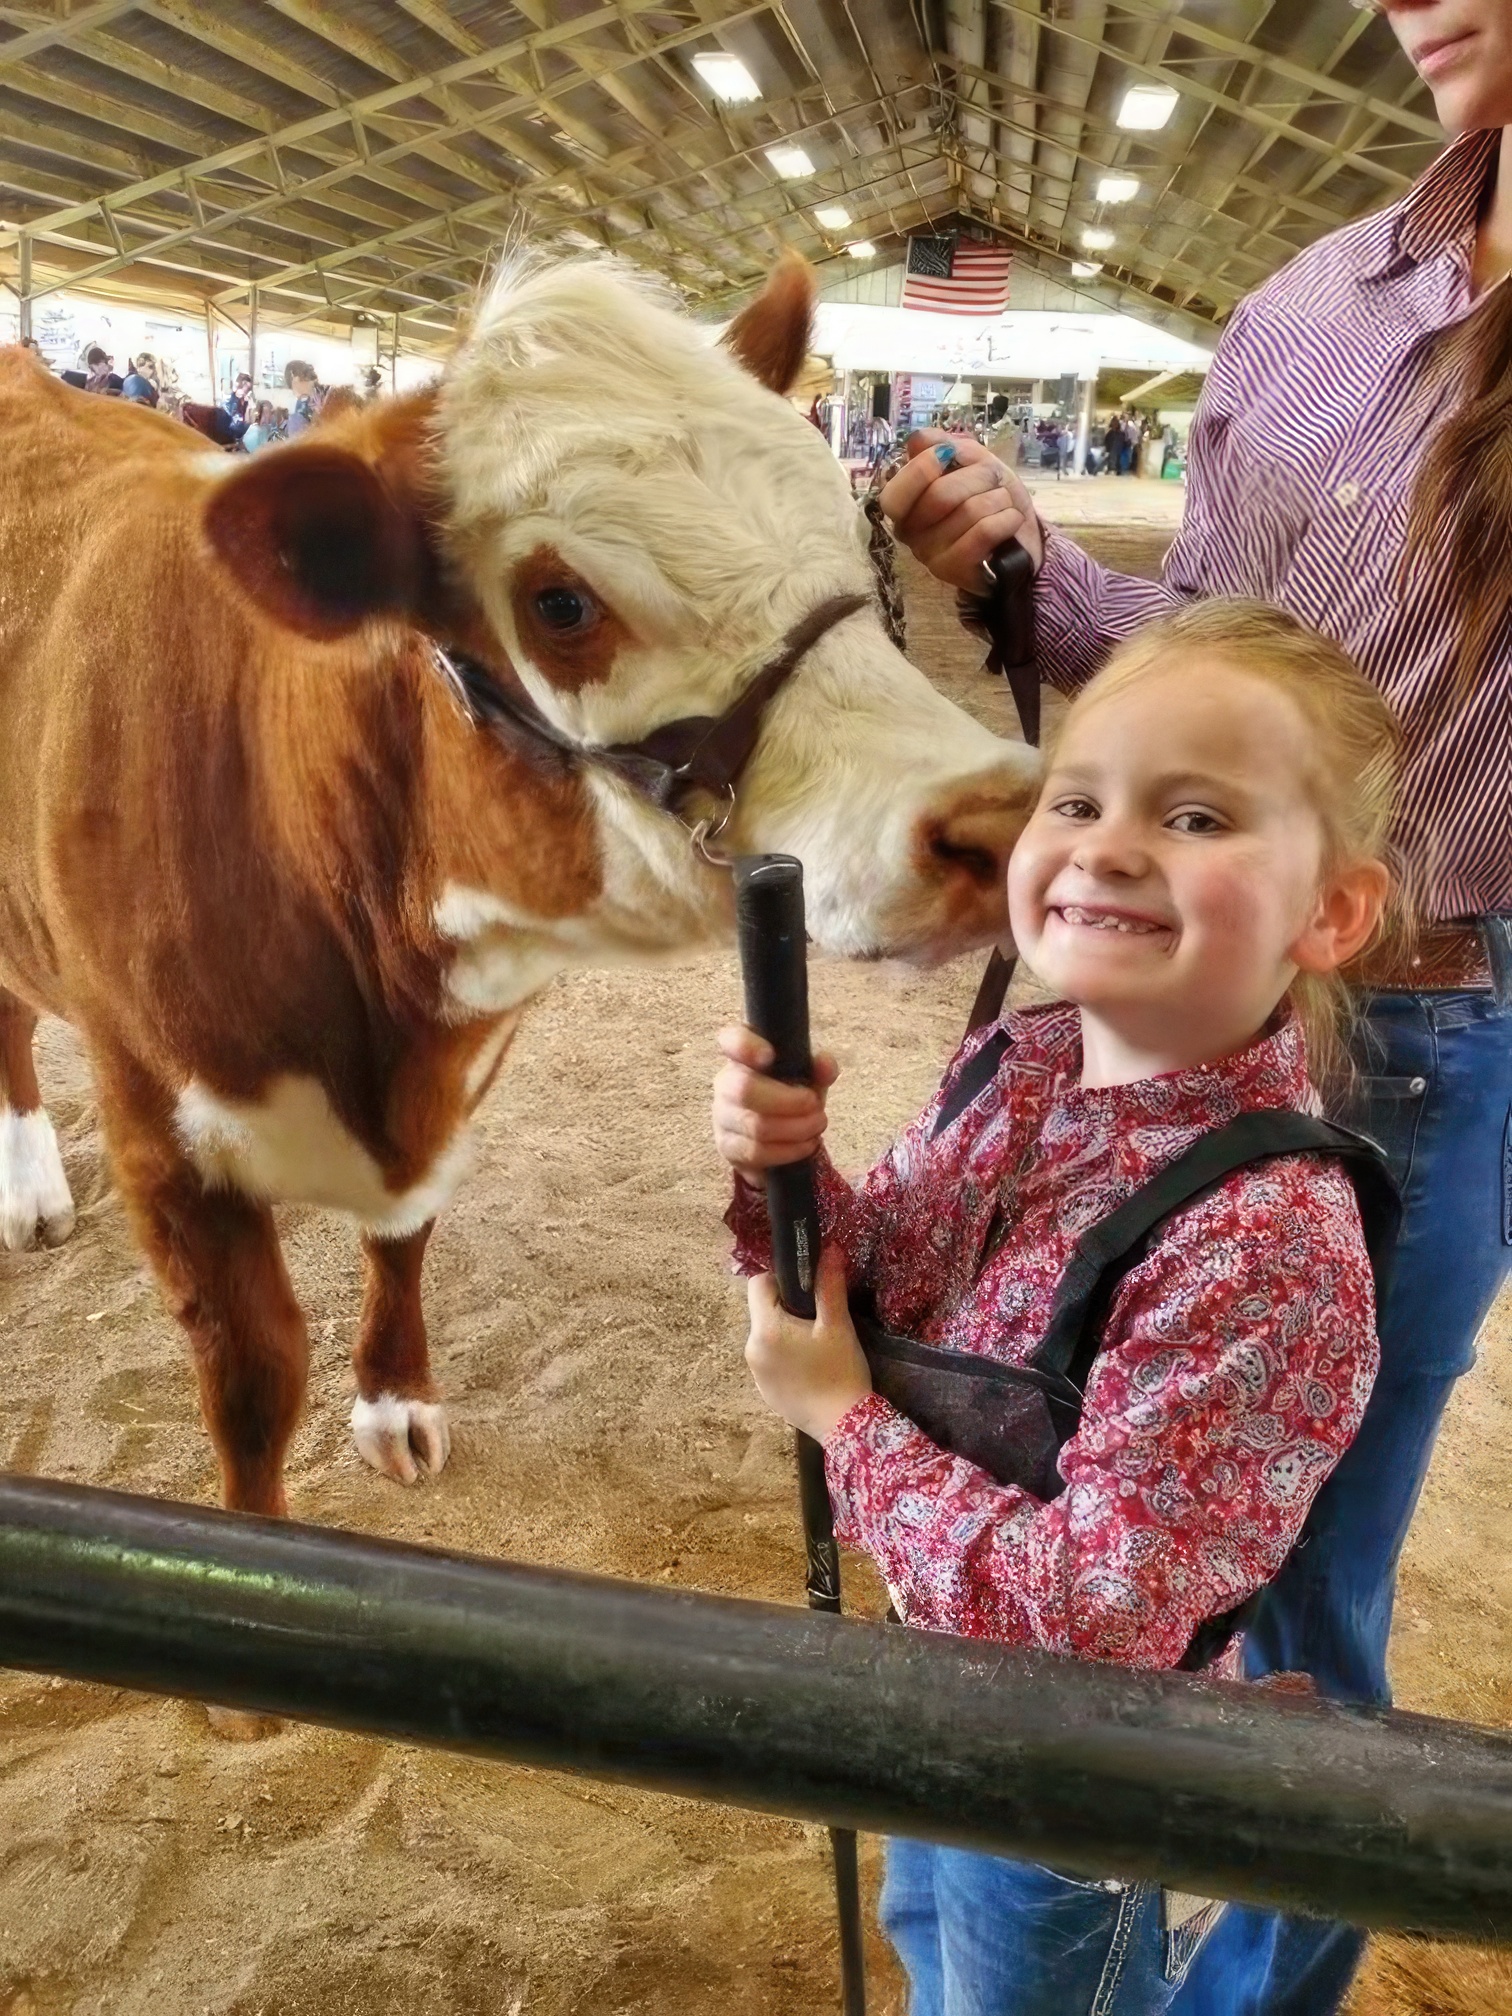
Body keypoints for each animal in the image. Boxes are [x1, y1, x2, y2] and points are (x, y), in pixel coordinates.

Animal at [0, 252, 1039, 1522]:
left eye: (851, 524)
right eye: (560, 603)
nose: (991, 816)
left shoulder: (461, 1081)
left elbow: (404, 1240)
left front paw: (395, 1399)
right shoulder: (160, 1133)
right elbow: (251, 1382)